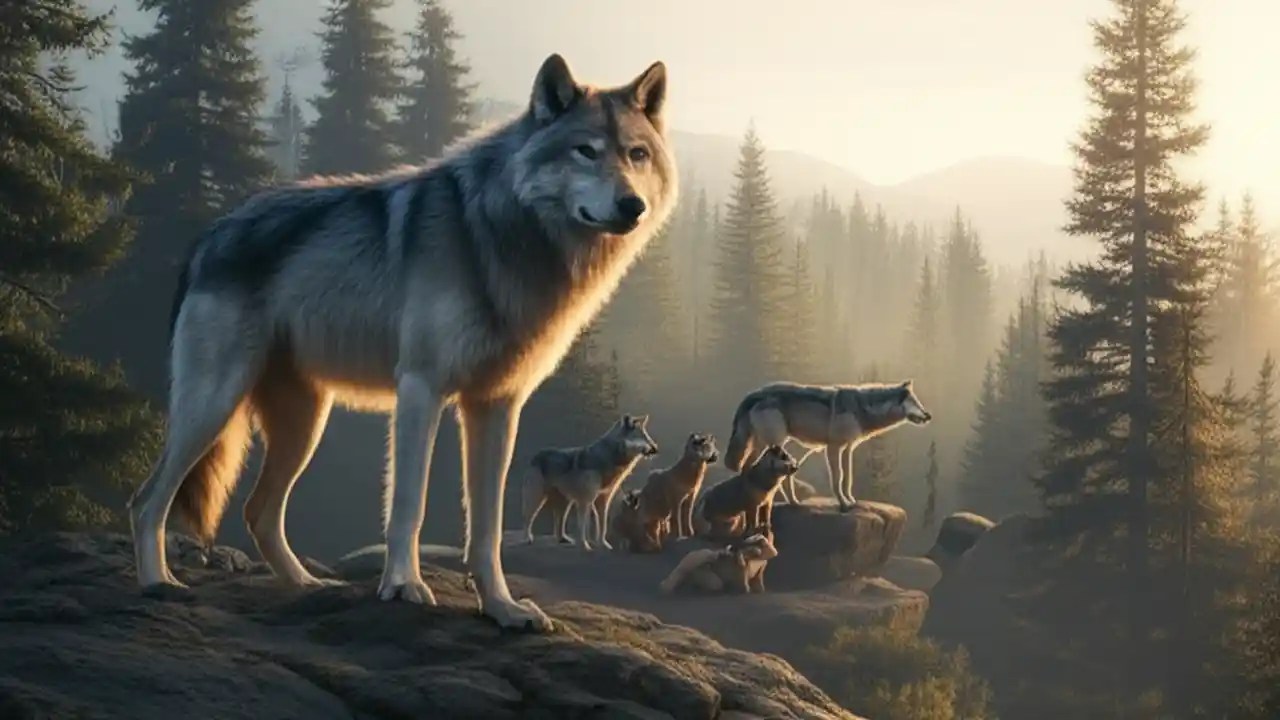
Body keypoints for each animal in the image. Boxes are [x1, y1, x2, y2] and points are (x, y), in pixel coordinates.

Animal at [520, 414, 658, 550]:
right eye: (641, 436)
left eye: (647, 436)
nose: (655, 449)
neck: (609, 457)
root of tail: (536, 455)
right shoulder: (585, 500)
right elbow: (583, 526)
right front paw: (585, 545)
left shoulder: (603, 500)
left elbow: (602, 526)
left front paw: (603, 544)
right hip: (537, 500)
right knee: (527, 519)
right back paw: (527, 538)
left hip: (566, 503)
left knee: (559, 523)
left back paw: (563, 539)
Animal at [724, 381, 931, 512]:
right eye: (916, 403)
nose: (928, 415)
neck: (862, 408)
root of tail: (753, 394)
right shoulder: (833, 448)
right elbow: (837, 479)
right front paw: (843, 504)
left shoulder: (848, 449)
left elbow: (848, 479)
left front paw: (851, 501)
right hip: (776, 445)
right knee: (766, 472)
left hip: (766, 446)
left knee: (747, 466)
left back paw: (790, 502)